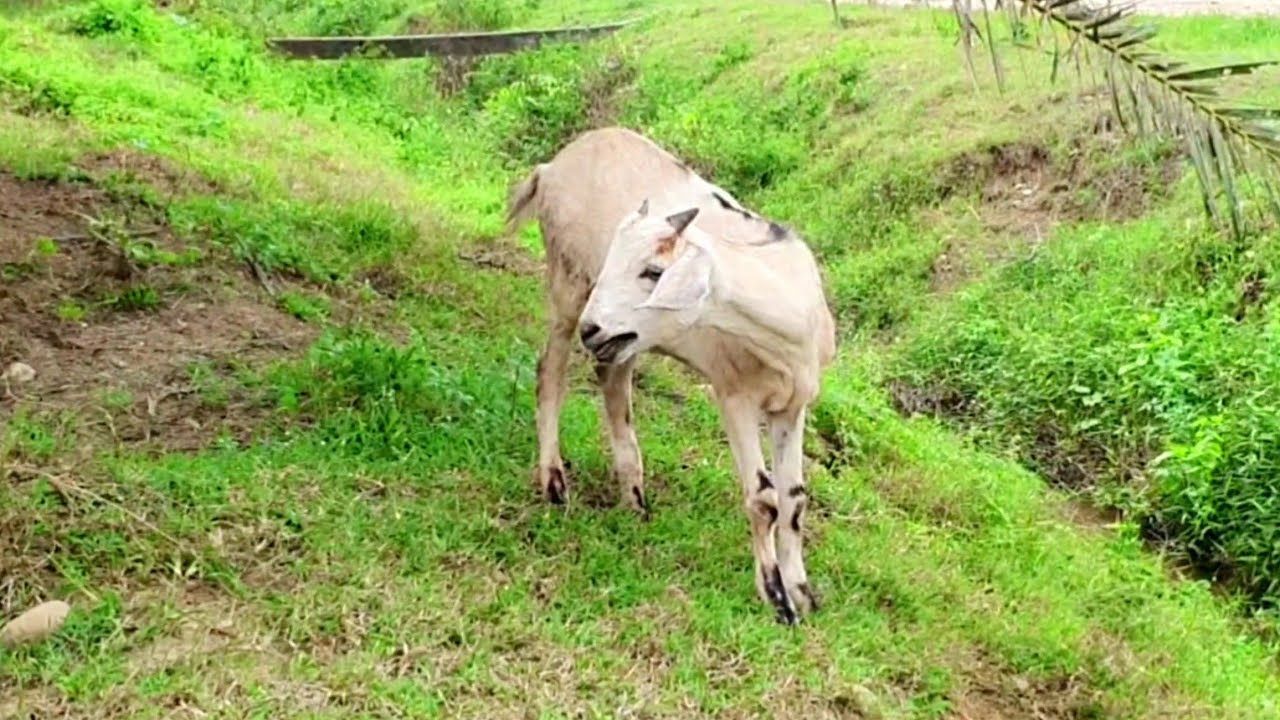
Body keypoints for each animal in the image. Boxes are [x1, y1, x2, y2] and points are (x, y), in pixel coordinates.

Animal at [505, 127, 837, 624]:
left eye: (654, 271)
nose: (592, 327)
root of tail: (552, 165)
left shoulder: (792, 405)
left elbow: (794, 498)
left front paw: (803, 592)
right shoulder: (733, 393)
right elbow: (764, 498)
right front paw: (777, 599)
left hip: (626, 338)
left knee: (611, 378)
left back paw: (635, 498)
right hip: (568, 282)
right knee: (551, 372)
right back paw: (554, 484)